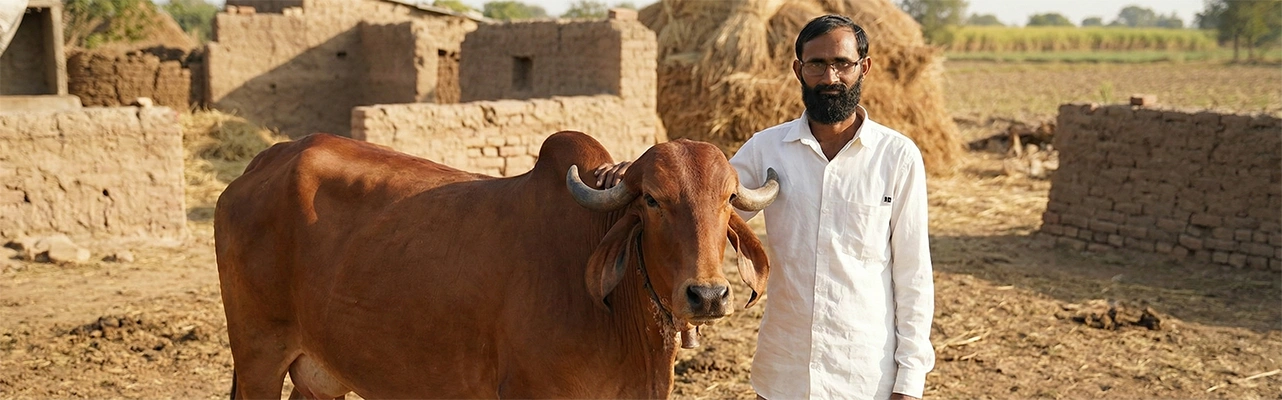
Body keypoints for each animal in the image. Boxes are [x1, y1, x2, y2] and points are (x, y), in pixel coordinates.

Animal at [214, 131, 780, 399]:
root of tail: (264, 161)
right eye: (652, 200)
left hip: (317, 375)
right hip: (259, 357)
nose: (707, 295)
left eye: (728, 199)